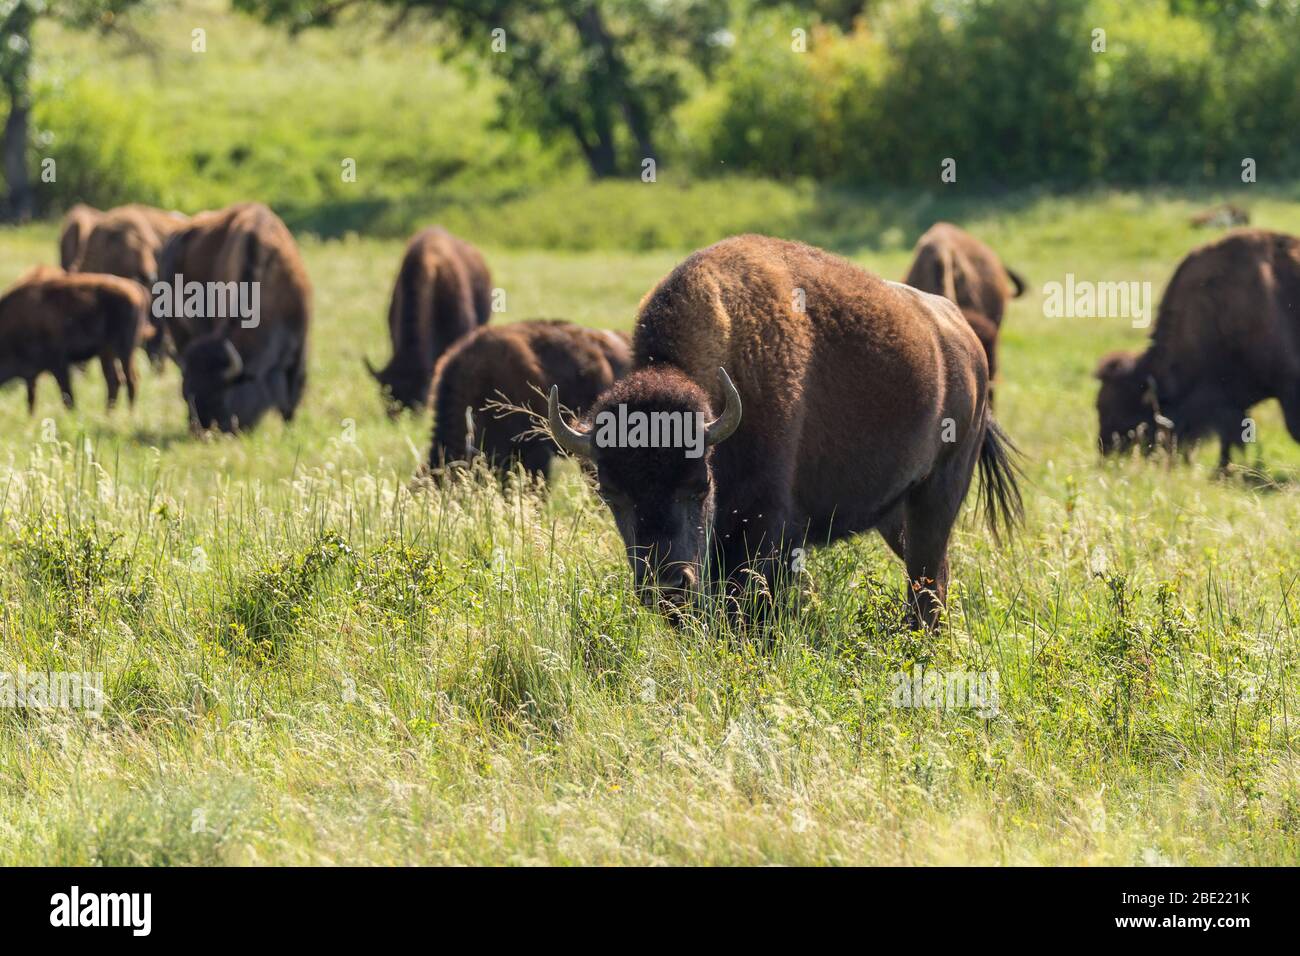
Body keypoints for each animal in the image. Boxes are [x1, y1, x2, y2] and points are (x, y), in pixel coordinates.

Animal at [0, 268, 150, 412]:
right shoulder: (31, 373)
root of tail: (134, 288)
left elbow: (67, 397)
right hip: (106, 353)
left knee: (131, 380)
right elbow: (31, 401)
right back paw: (108, 415)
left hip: (125, 350)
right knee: (114, 381)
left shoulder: (58, 364)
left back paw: (130, 414)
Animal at [156, 202, 312, 432]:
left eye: (220, 396)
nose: (201, 431)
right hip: (177, 328)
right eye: (185, 394)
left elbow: (291, 398)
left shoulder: (299, 346)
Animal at [549, 235, 1022, 627]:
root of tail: (963, 339)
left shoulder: (768, 529)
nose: (667, 587)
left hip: (939, 490)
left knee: (927, 576)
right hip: (895, 512)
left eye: (700, 485)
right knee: (931, 572)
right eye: (609, 493)